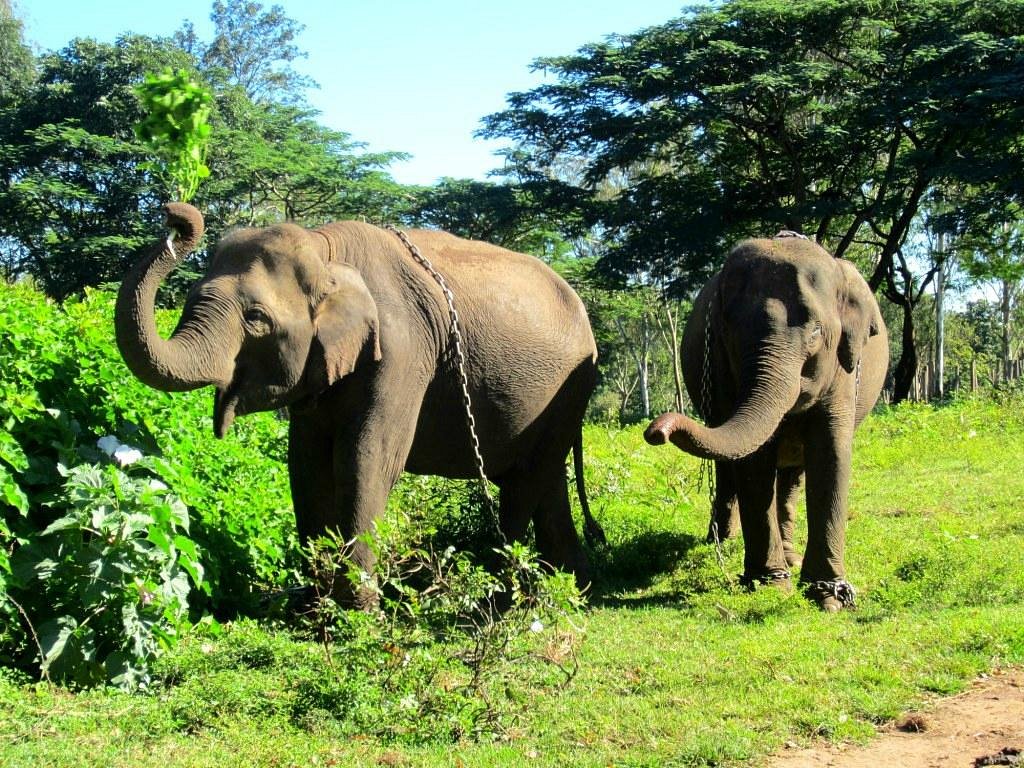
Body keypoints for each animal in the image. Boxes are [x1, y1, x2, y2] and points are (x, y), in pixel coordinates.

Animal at [115, 203, 604, 604]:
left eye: (256, 319)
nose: (173, 217)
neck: (326, 249)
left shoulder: (404, 351)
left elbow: (366, 457)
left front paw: (357, 612)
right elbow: (306, 464)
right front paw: (312, 610)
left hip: (570, 390)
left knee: (527, 485)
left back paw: (507, 598)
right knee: (545, 483)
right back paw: (571, 588)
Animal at [644, 232, 888, 611]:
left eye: (816, 333)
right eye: (730, 331)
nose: (657, 430)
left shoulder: (843, 371)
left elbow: (830, 452)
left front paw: (828, 597)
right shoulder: (724, 370)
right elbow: (753, 462)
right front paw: (770, 586)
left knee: (790, 478)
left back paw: (790, 557)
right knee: (733, 470)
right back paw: (722, 540)